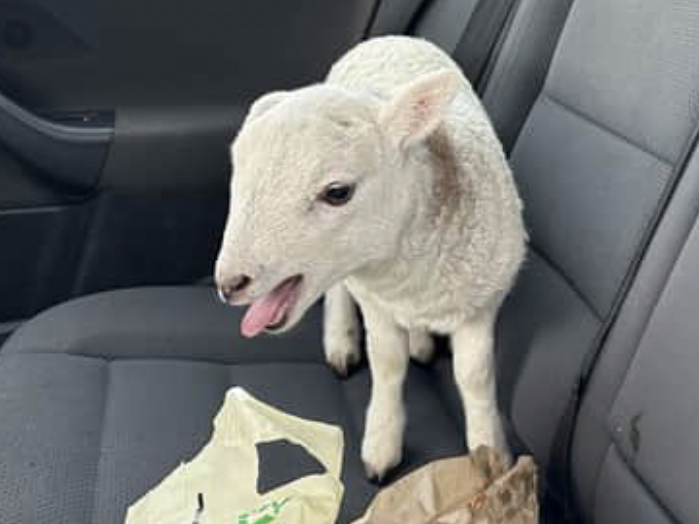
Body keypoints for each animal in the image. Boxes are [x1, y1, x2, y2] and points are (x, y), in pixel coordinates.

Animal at [215, 36, 527, 481]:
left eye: (337, 192)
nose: (229, 283)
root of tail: (391, 38)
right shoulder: (375, 300)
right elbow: (388, 363)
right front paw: (382, 444)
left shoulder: (481, 300)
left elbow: (474, 376)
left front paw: (490, 454)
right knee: (340, 290)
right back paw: (342, 339)